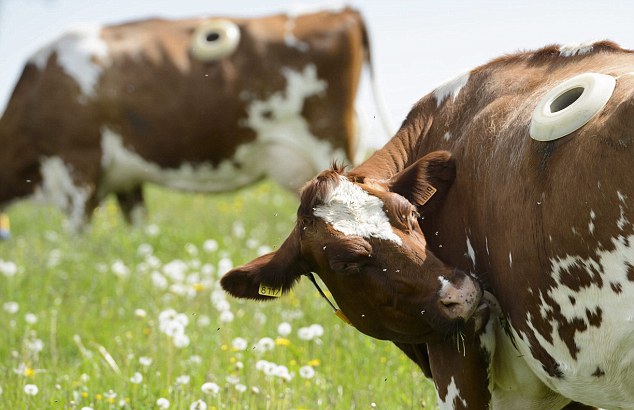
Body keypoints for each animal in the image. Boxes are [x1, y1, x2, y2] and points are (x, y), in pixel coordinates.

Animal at [0, 6, 386, 231]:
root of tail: (341, 11)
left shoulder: (77, 165)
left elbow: (77, 235)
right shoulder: (126, 179)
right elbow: (138, 228)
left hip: (328, 142)